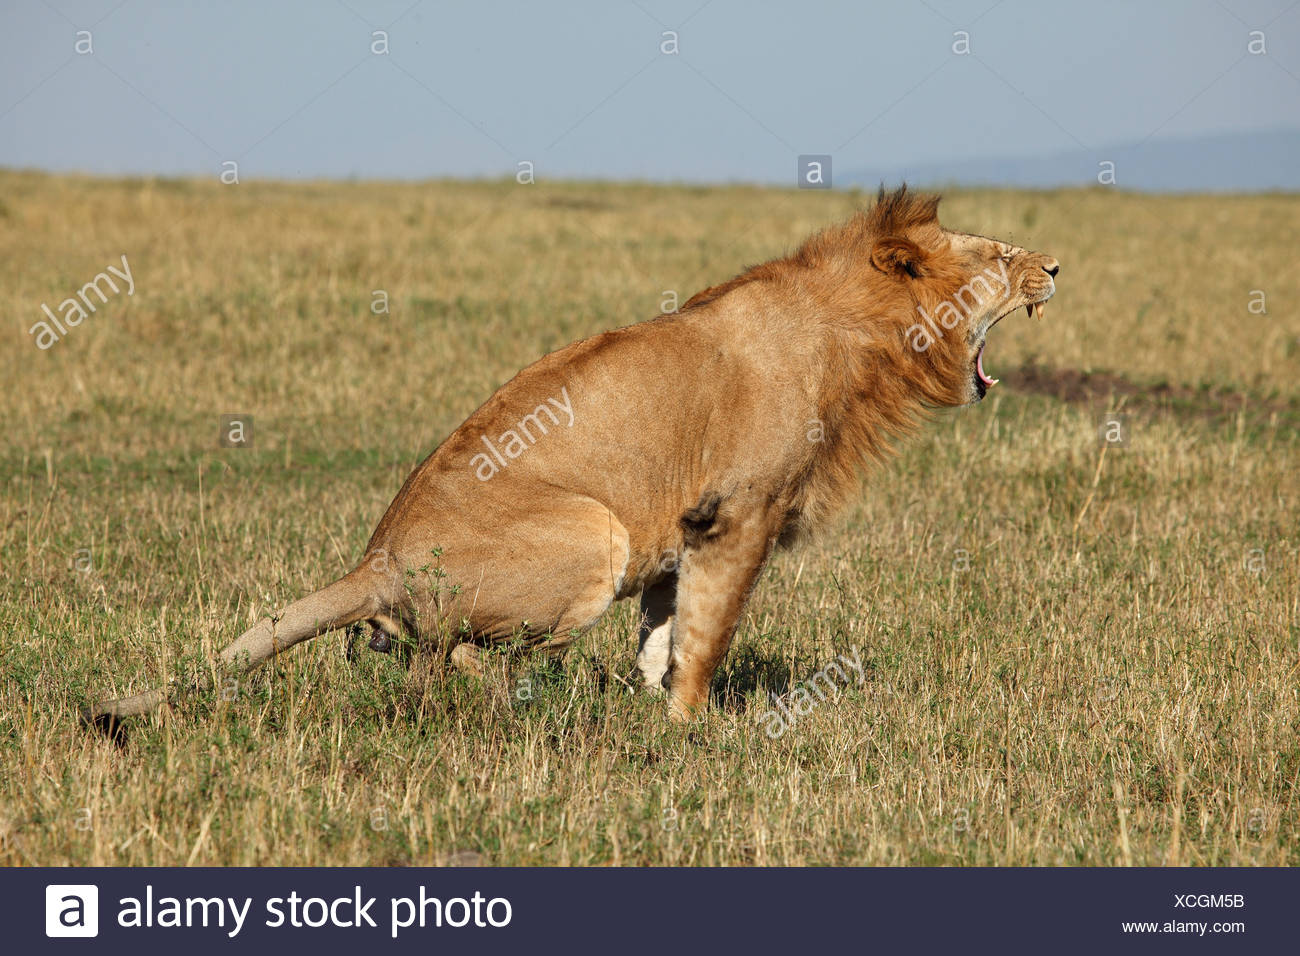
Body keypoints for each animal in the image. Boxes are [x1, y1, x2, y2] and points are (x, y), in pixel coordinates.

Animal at [87, 186, 1059, 726]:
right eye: (1000, 255)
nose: (1054, 267)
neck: (860, 339)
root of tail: (375, 561)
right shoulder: (740, 515)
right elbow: (708, 635)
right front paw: (692, 728)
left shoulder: (685, 528)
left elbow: (663, 633)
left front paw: (645, 708)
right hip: (595, 533)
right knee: (462, 656)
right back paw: (519, 700)